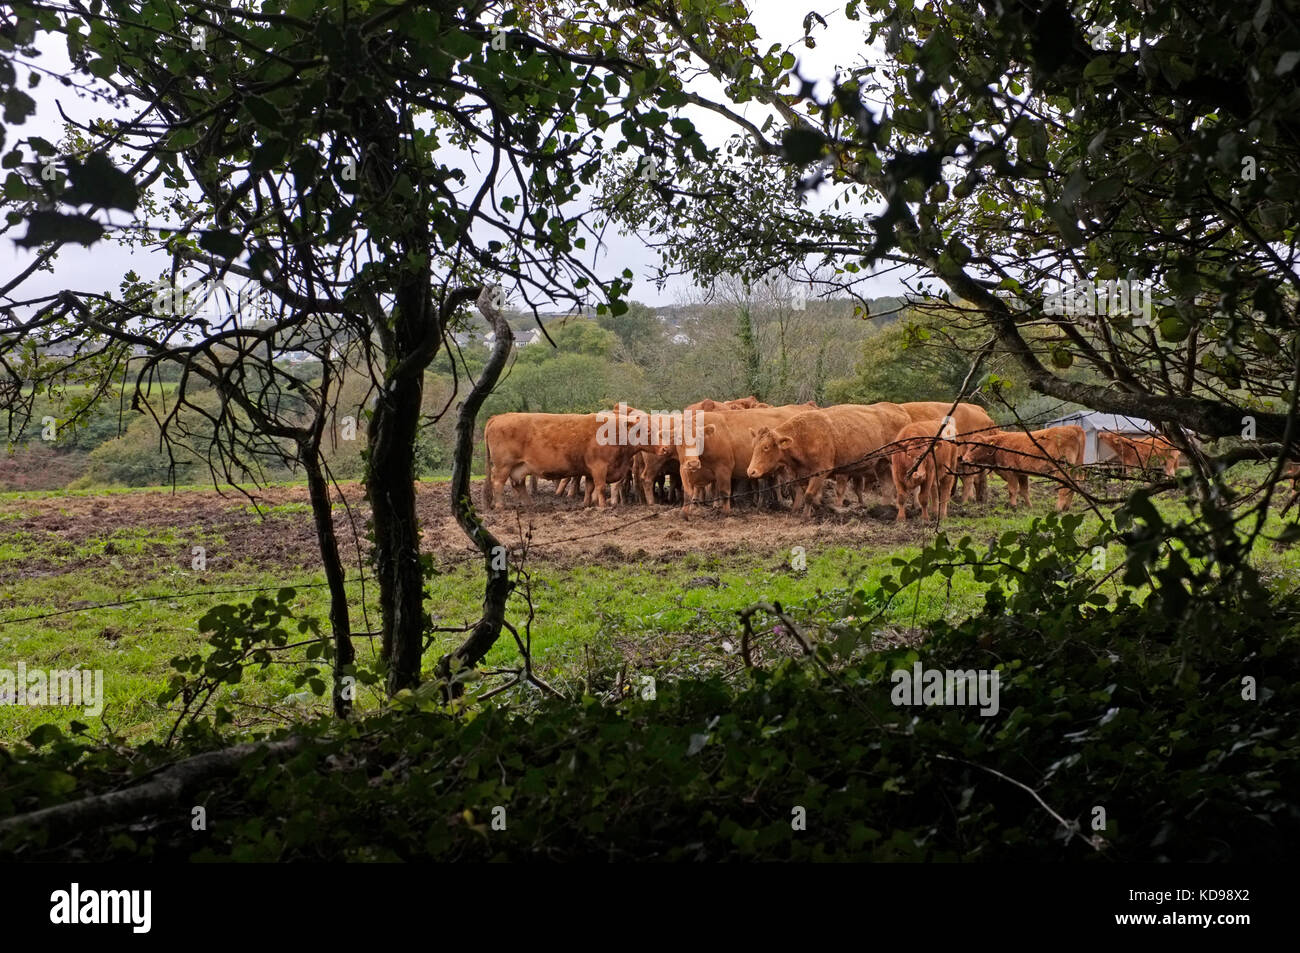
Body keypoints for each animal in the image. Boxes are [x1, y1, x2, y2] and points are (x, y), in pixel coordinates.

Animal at [482, 410, 646, 510]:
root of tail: (498, 417)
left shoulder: (590, 471)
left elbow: (590, 487)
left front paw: (587, 505)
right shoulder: (599, 467)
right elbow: (599, 487)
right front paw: (603, 507)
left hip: (519, 467)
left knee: (518, 484)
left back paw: (530, 505)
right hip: (503, 466)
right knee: (497, 482)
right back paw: (500, 506)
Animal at [746, 404, 903, 516]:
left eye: (766, 447)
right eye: (753, 446)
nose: (751, 471)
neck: (802, 437)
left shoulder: (820, 472)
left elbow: (809, 495)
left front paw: (806, 516)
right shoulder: (798, 474)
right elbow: (800, 494)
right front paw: (799, 511)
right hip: (881, 463)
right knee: (887, 487)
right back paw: (884, 510)